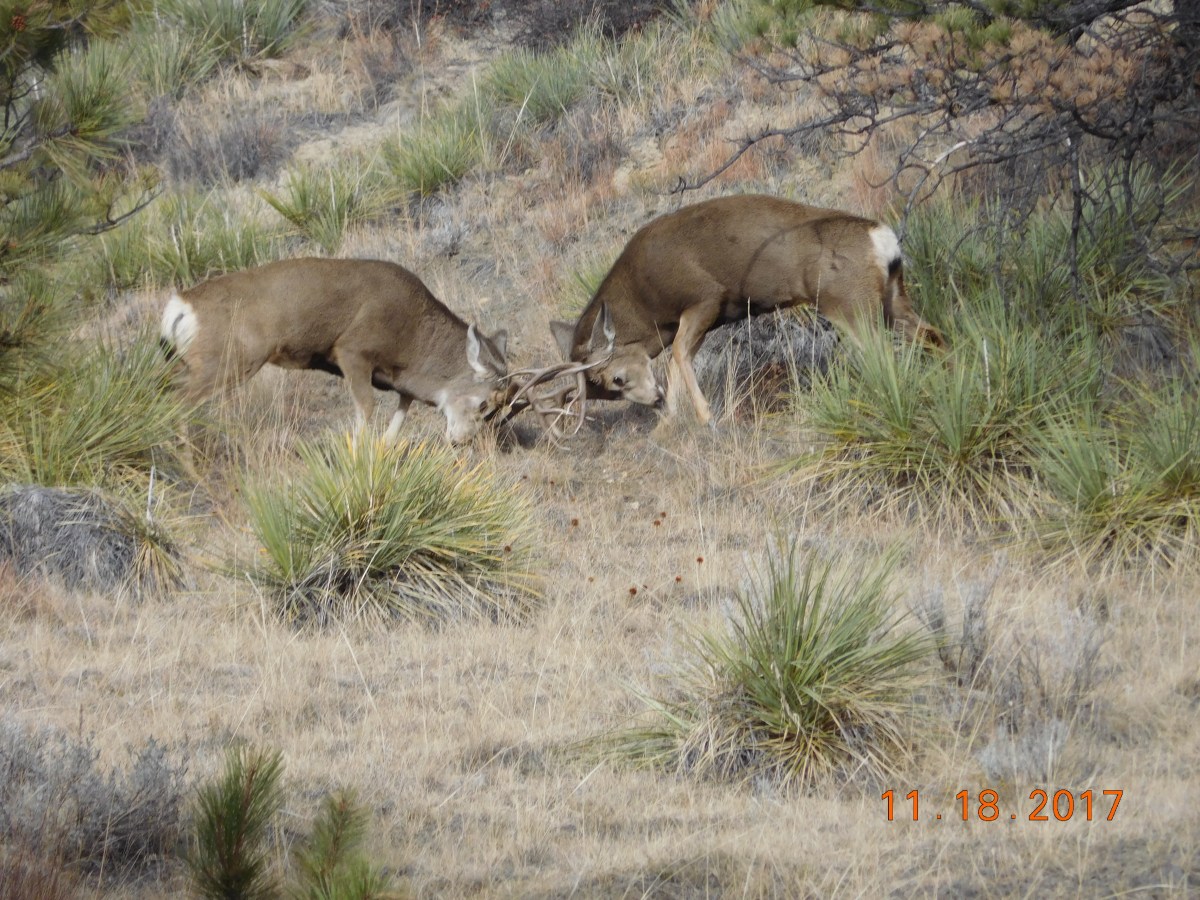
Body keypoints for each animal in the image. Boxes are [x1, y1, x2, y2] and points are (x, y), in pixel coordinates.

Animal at [159, 257, 512, 444]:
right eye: (484, 403)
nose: (461, 441)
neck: (414, 336)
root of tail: (183, 306)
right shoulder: (352, 350)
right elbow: (365, 409)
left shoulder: (400, 383)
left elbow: (396, 422)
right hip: (226, 363)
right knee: (176, 404)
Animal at [549, 194, 945, 427]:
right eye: (612, 389)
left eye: (615, 379)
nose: (654, 401)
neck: (643, 293)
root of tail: (883, 240)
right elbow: (679, 359)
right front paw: (669, 424)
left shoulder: (705, 298)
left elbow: (678, 353)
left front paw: (706, 417)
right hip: (893, 299)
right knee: (931, 335)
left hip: (852, 305)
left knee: (885, 357)